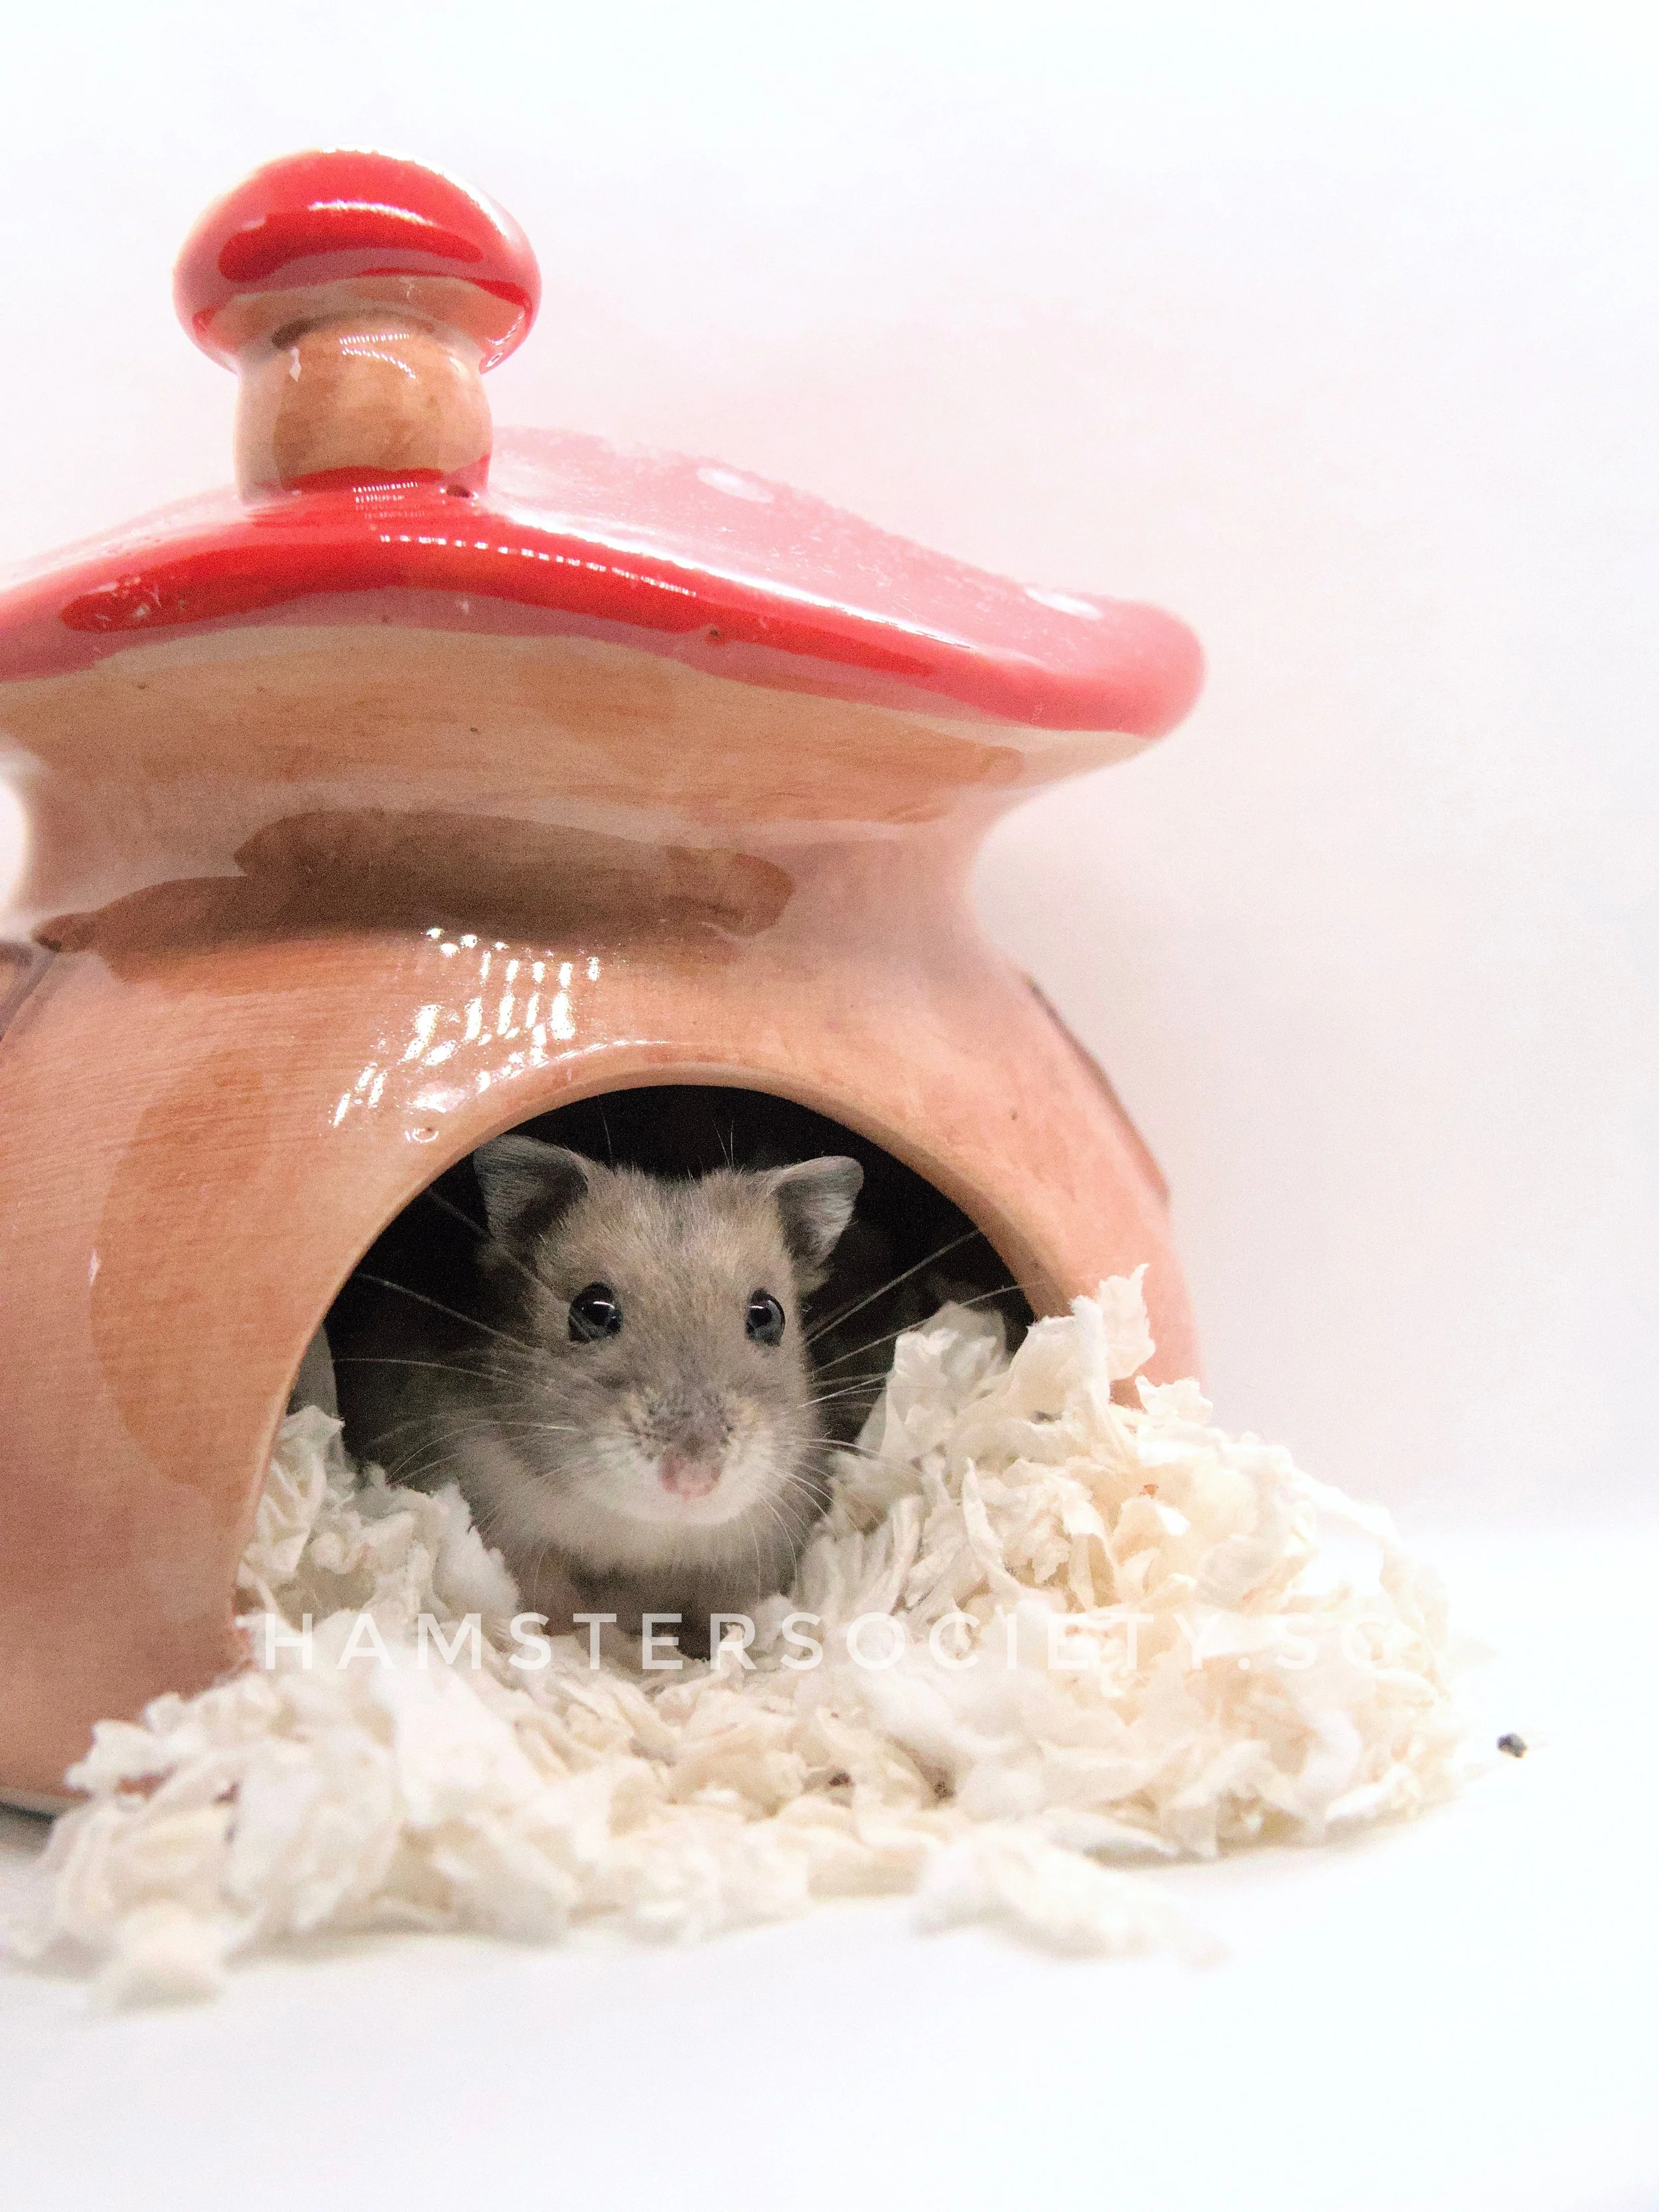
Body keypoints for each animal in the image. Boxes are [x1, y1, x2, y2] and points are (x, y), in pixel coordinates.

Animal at [329, 1137, 863, 1646]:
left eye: (768, 1315)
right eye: (593, 1311)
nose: (693, 1480)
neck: (644, 1531)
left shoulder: (755, 1552)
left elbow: (726, 1610)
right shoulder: (504, 1522)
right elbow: (551, 1602)